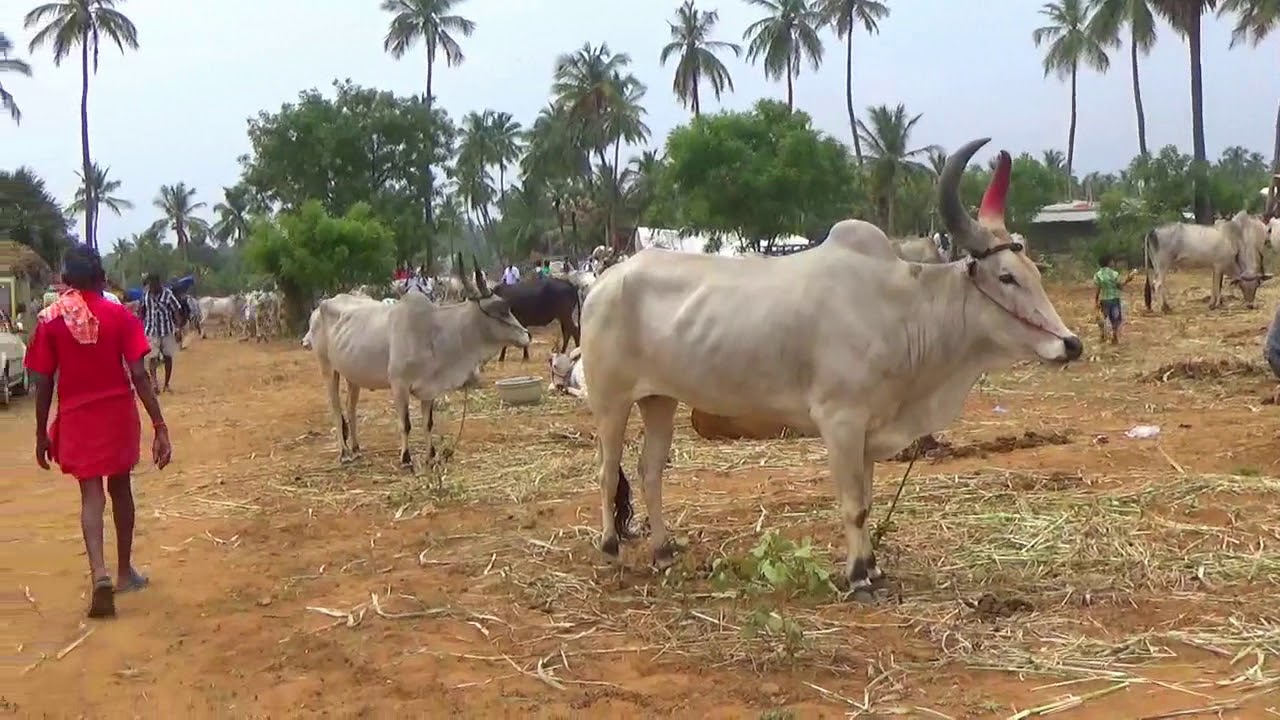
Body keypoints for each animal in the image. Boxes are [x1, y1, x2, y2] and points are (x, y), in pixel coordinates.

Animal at [309, 254, 530, 468]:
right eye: (501, 308)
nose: (527, 335)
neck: (434, 331)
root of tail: (321, 306)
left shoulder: (430, 388)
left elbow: (428, 423)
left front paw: (431, 456)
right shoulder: (399, 385)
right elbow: (405, 424)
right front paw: (406, 458)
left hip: (352, 375)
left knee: (351, 409)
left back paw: (355, 449)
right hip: (327, 368)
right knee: (336, 410)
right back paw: (344, 453)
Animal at [580, 137, 1082, 601]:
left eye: (1035, 271)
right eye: (1006, 277)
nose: (1070, 344)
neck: (905, 308)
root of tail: (604, 282)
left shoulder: (870, 429)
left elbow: (868, 501)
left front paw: (875, 567)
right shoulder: (841, 421)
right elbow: (853, 505)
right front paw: (858, 577)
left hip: (659, 399)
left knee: (649, 470)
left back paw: (664, 551)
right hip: (610, 401)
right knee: (606, 470)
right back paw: (610, 549)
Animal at [1142, 211, 1272, 312]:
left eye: (1257, 285)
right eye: (1242, 286)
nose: (1250, 305)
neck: (1232, 239)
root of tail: (1153, 230)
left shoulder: (1215, 268)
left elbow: (1215, 285)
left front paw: (1214, 303)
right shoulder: (1219, 266)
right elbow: (1217, 286)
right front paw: (1214, 304)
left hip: (1157, 265)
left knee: (1159, 283)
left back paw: (1165, 306)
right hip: (1163, 264)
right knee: (1158, 284)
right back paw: (1164, 308)